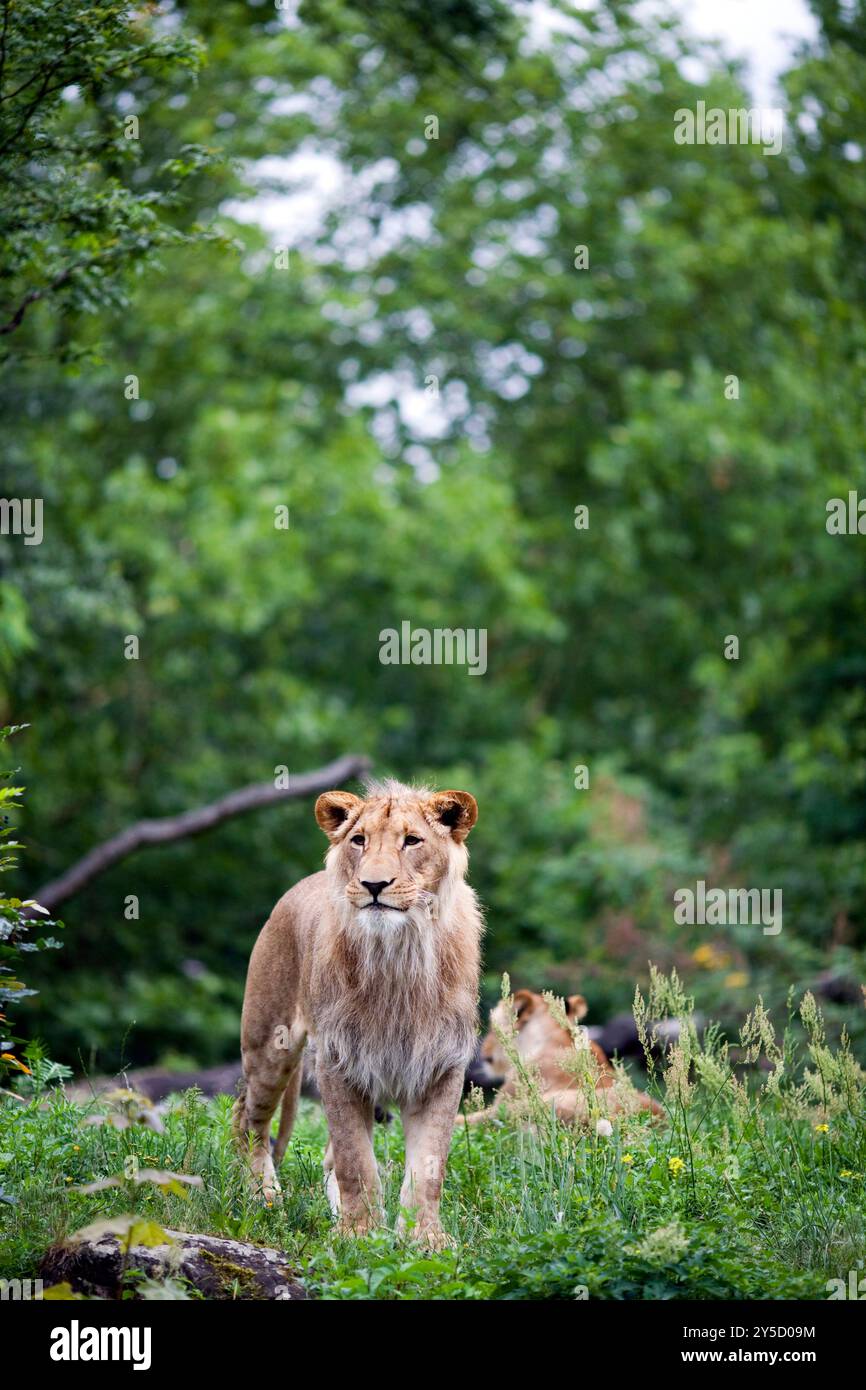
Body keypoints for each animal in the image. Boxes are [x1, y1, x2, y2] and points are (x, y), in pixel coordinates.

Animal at [232, 778, 482, 1248]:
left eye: (412, 841)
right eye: (359, 840)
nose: (373, 884)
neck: (397, 957)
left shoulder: (441, 1067)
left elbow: (428, 1167)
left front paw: (425, 1239)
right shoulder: (338, 1062)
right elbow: (356, 1160)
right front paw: (359, 1235)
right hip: (269, 1044)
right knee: (247, 1117)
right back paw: (263, 1197)